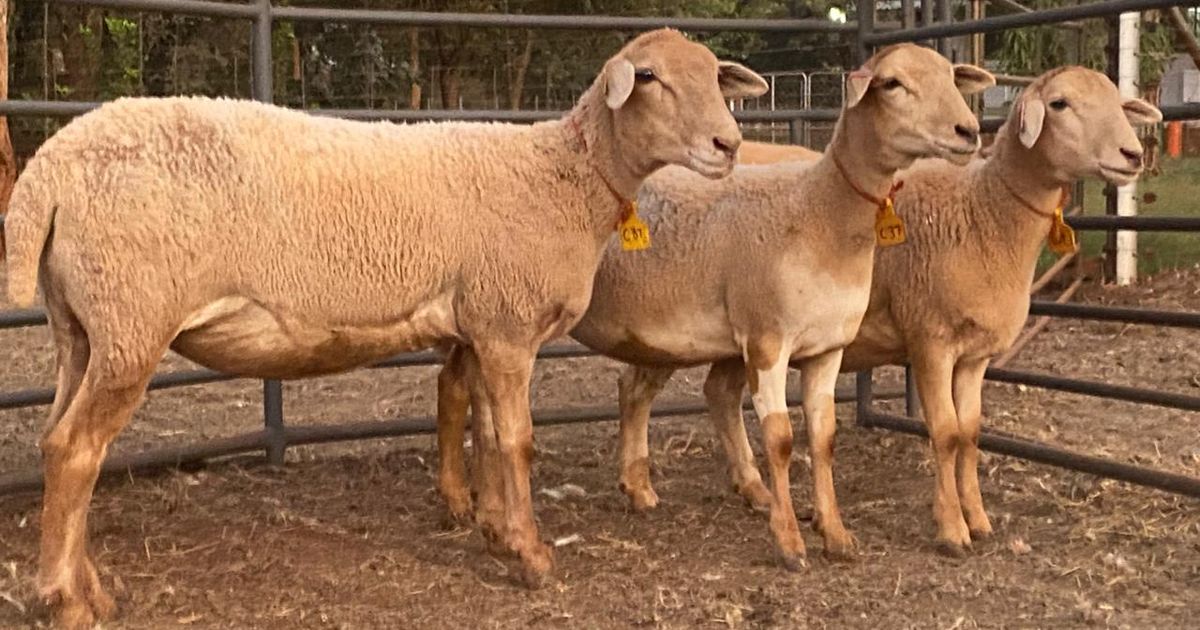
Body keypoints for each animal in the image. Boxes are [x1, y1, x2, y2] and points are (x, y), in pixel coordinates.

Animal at [1, 28, 768, 628]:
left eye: (715, 76)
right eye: (650, 78)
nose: (728, 144)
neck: (564, 177)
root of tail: (49, 170)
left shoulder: (480, 321)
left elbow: (482, 429)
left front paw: (493, 531)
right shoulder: (508, 320)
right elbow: (516, 442)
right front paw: (530, 555)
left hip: (83, 327)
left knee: (57, 440)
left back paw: (92, 587)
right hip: (131, 316)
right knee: (76, 450)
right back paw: (67, 601)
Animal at [435, 44, 994, 568]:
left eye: (951, 77)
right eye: (893, 83)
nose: (968, 131)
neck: (819, 216)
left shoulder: (827, 347)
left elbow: (824, 438)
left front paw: (836, 536)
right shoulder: (767, 338)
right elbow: (780, 439)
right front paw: (789, 543)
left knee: (598, 389)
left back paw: (622, 491)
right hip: (502, 313)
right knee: (462, 387)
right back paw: (467, 502)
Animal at [615, 66, 1162, 555]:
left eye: (1119, 104)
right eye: (1060, 104)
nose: (1132, 154)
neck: (983, 211)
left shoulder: (976, 355)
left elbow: (971, 434)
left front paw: (979, 519)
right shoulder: (930, 338)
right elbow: (945, 433)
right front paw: (952, 530)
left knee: (714, 393)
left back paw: (747, 489)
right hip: (679, 325)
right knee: (638, 388)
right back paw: (641, 486)